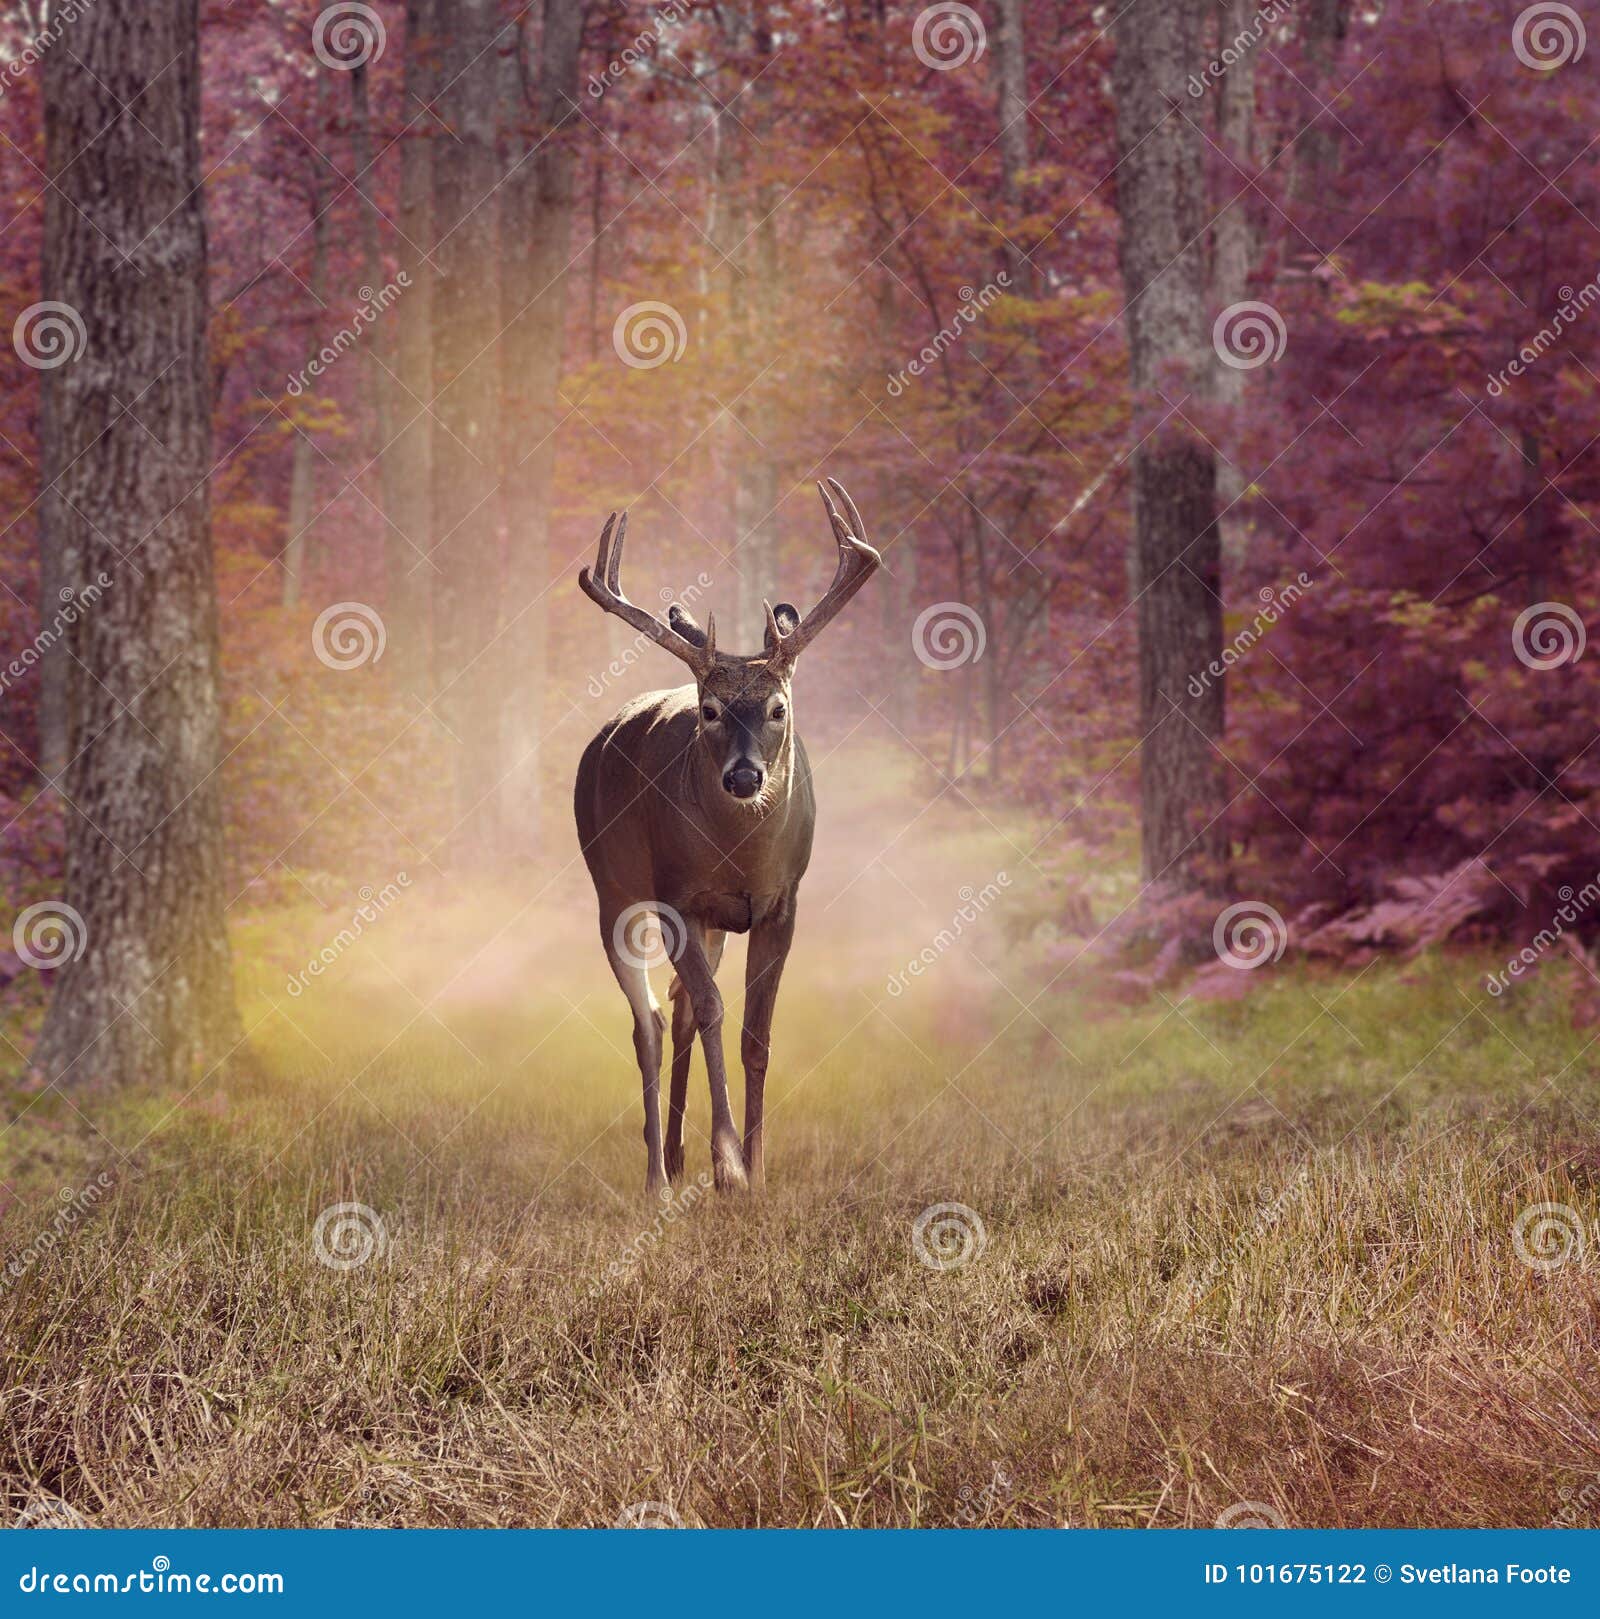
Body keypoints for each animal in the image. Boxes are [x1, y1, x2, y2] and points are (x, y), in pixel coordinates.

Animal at [574, 479, 881, 1196]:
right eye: (710, 710)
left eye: (777, 707)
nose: (744, 776)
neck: (741, 856)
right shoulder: (677, 898)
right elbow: (716, 1013)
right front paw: (730, 1161)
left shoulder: (781, 902)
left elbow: (754, 1031)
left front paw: (756, 1168)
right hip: (613, 892)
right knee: (651, 1022)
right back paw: (659, 1179)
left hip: (711, 923)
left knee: (680, 1005)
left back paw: (679, 1156)